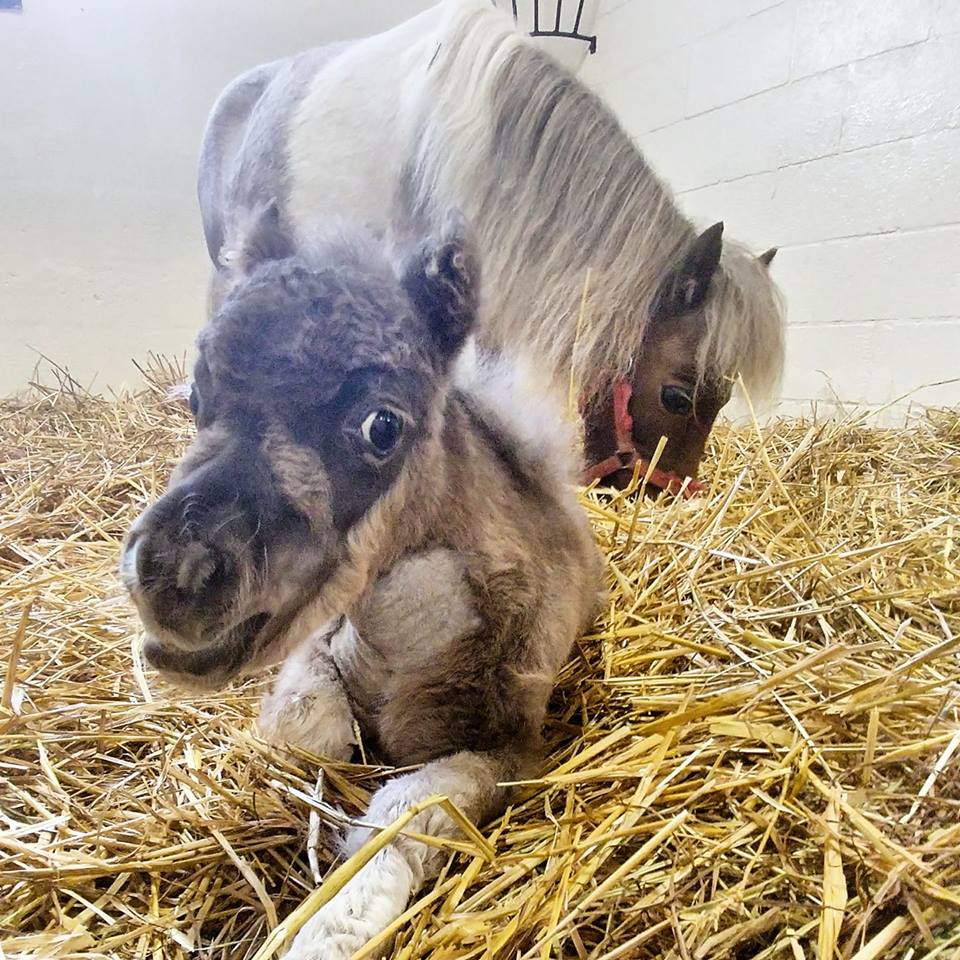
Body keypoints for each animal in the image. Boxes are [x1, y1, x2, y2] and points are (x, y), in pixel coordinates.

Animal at [119, 210, 602, 958]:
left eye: (383, 424)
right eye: (197, 397)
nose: (171, 574)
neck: (400, 658)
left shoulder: (515, 747)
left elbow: (410, 809)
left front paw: (329, 929)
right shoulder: (314, 651)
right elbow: (308, 731)